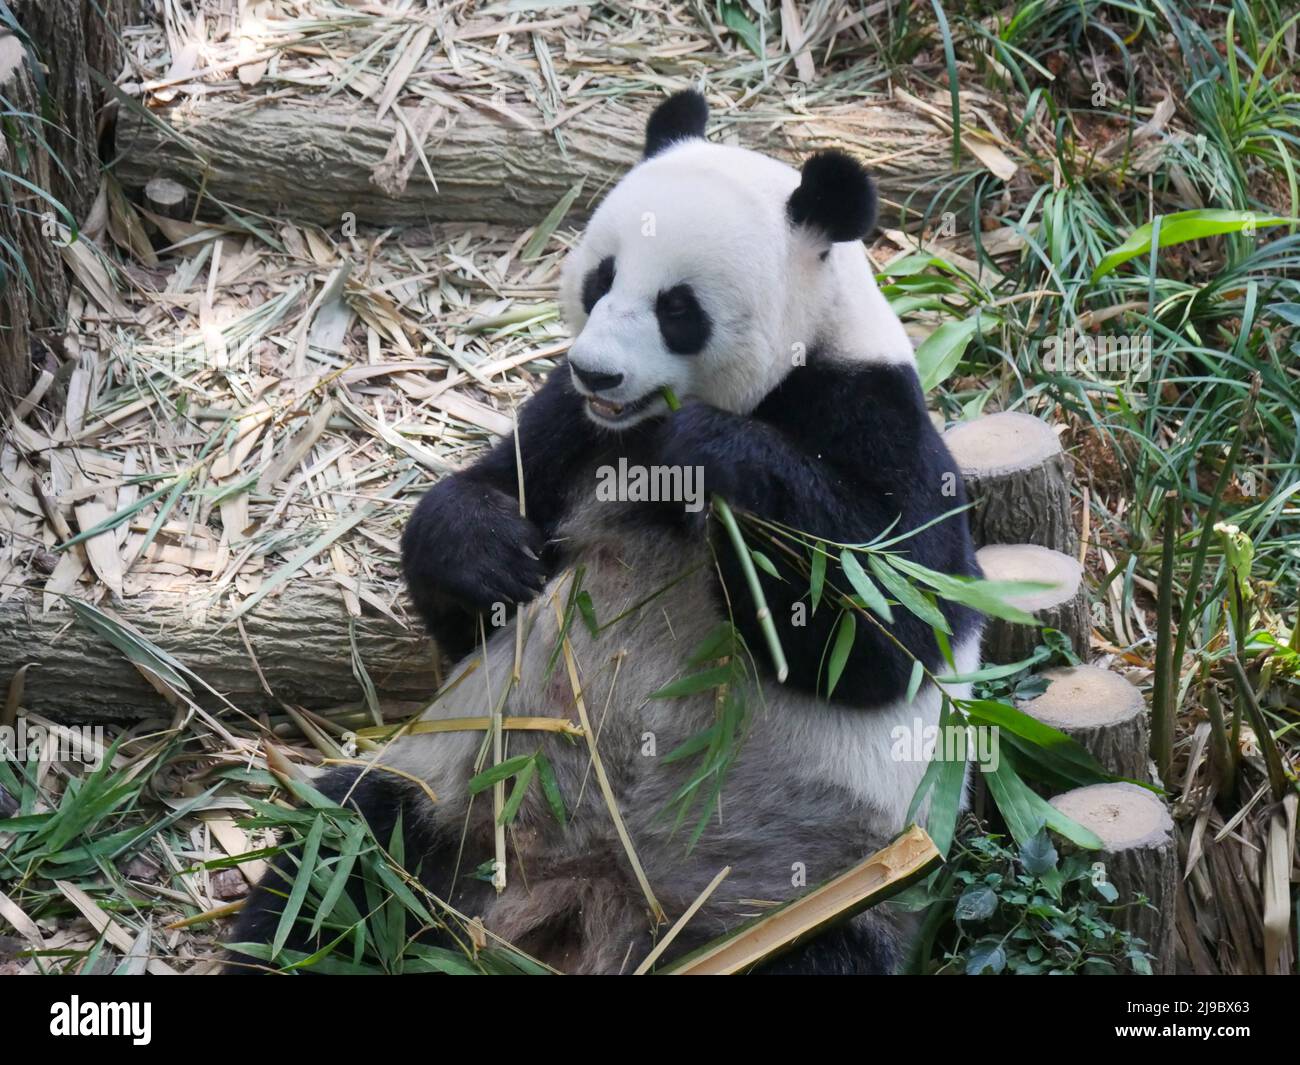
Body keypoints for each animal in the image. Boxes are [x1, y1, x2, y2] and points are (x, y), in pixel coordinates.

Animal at [230, 90, 983, 975]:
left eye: (679, 308)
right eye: (601, 278)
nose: (598, 371)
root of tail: (579, 897)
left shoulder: (871, 410)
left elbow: (886, 622)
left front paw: (714, 458)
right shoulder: (573, 427)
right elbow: (477, 532)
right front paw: (492, 561)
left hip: (808, 889)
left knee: (826, 950)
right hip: (455, 802)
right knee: (341, 857)